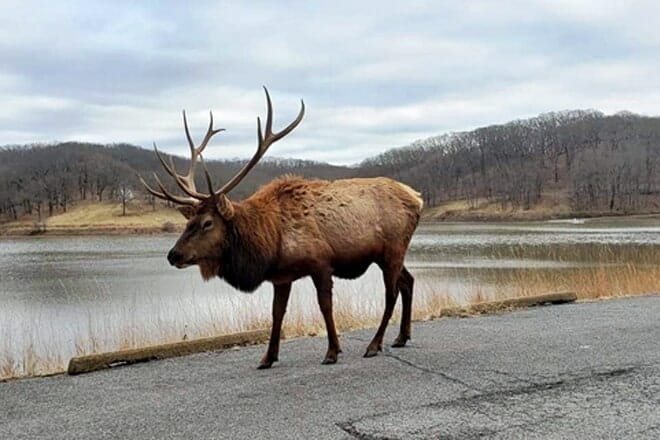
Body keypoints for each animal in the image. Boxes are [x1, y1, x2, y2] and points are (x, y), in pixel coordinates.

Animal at [140, 87, 423, 369]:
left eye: (207, 222)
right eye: (188, 222)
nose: (173, 255)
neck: (269, 241)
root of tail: (418, 198)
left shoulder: (321, 263)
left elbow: (325, 307)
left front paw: (332, 351)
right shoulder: (281, 275)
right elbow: (276, 313)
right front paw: (267, 357)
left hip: (393, 249)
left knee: (391, 293)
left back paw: (374, 344)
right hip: (387, 254)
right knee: (408, 281)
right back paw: (401, 337)